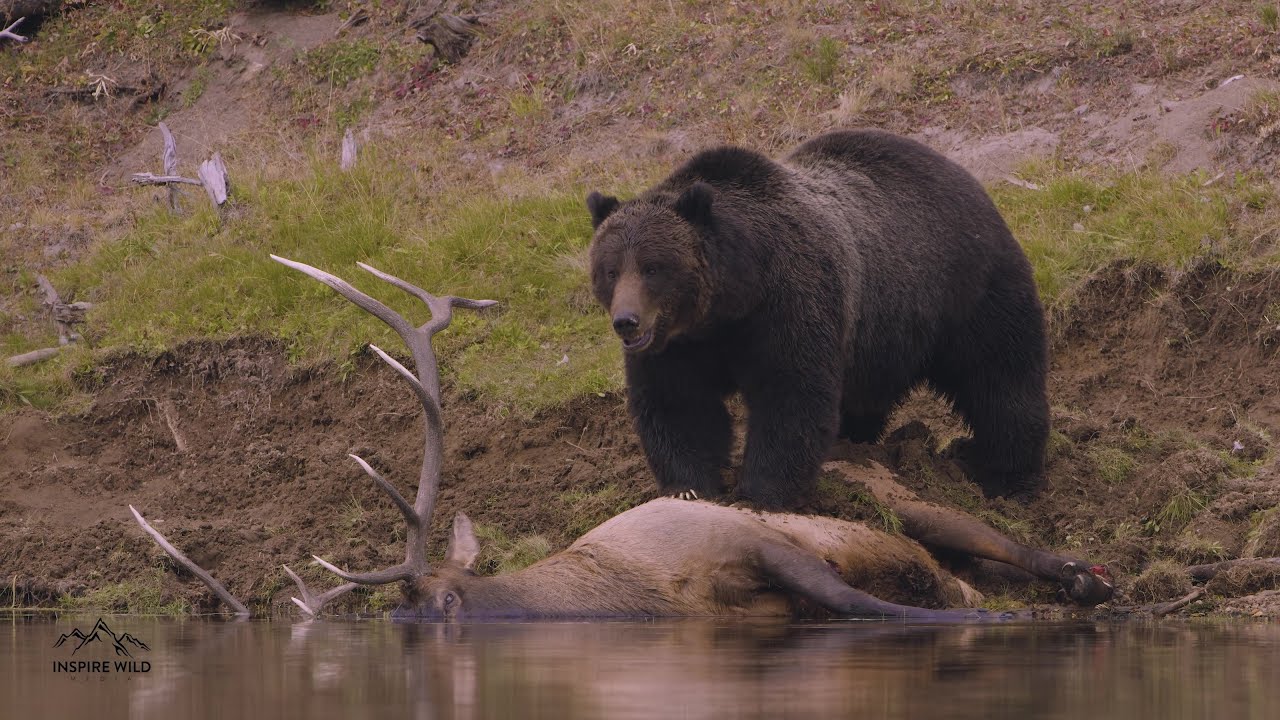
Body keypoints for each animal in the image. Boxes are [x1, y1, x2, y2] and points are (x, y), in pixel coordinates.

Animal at [127, 255, 1115, 621]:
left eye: (436, 609)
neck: (629, 588)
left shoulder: (746, 537)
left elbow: (870, 606)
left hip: (915, 508)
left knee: (1002, 541)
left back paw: (1087, 579)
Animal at [586, 129, 1049, 509]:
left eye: (653, 267)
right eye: (609, 270)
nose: (627, 322)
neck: (731, 300)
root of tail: (962, 173)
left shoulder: (789, 302)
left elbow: (791, 393)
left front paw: (761, 491)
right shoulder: (679, 346)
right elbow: (678, 403)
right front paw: (690, 486)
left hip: (968, 289)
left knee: (999, 376)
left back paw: (1005, 475)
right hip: (882, 334)